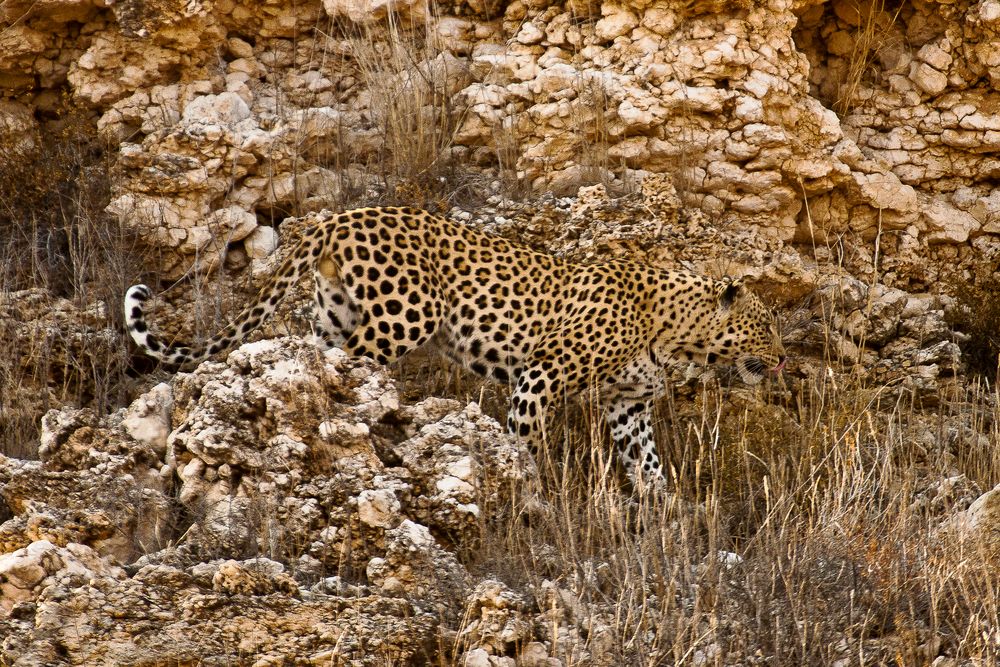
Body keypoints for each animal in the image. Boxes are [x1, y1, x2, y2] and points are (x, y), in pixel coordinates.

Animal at [125, 206, 784, 482]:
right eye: (768, 327)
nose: (780, 358)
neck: (677, 334)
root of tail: (339, 216)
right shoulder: (542, 372)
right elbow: (525, 440)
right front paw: (526, 489)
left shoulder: (629, 405)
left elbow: (646, 462)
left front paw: (664, 512)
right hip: (405, 314)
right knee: (361, 365)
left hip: (336, 317)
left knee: (323, 357)